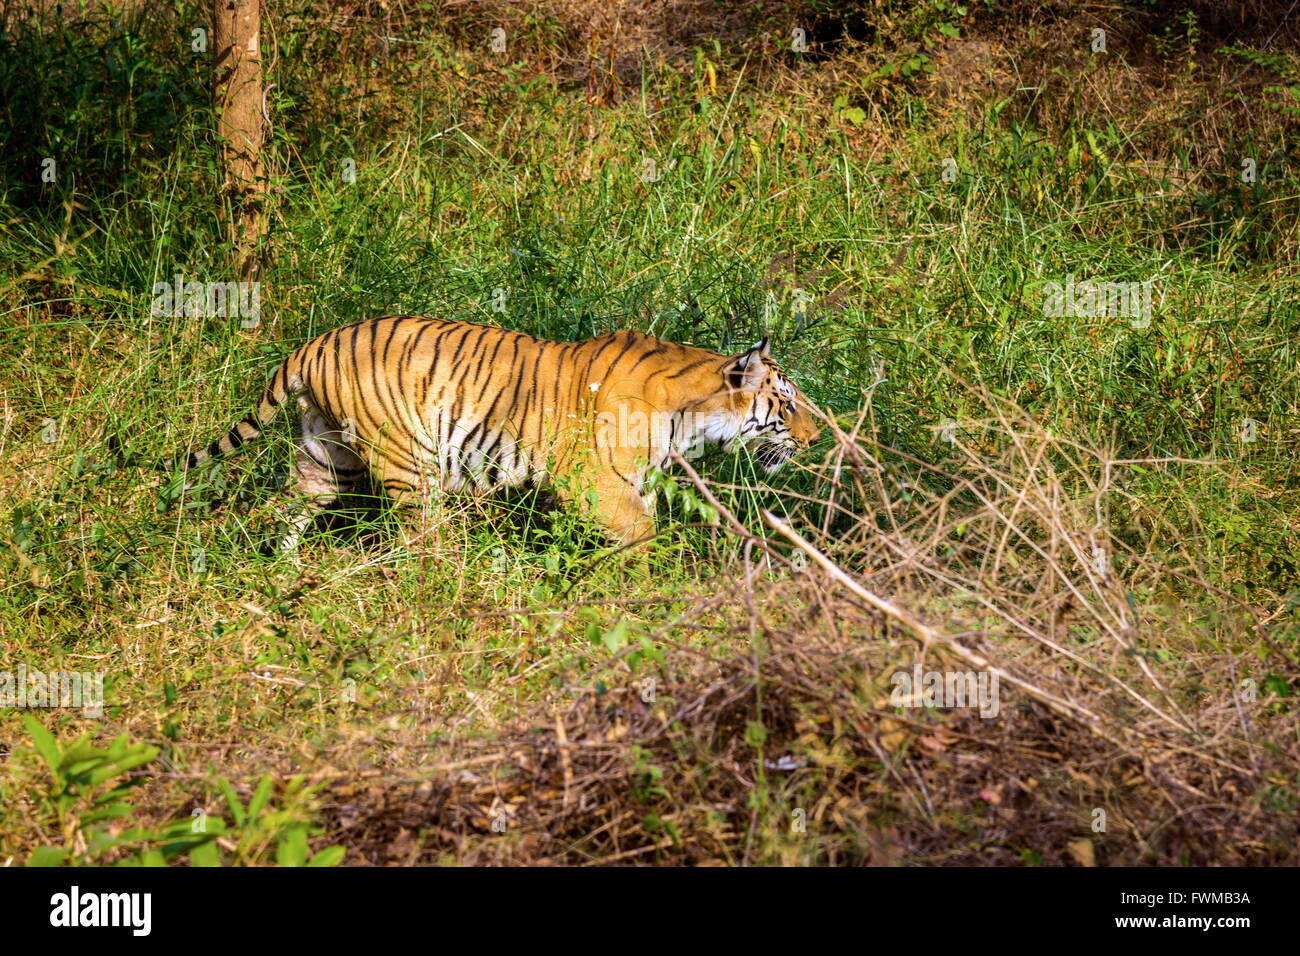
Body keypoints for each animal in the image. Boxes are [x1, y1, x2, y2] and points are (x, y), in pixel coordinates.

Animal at [163, 315, 820, 550]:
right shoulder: (594, 482)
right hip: (407, 463)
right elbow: (643, 533)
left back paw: (278, 569)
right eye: (785, 403)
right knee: (418, 540)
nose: (816, 439)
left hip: (326, 457)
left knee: (288, 508)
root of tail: (311, 344)